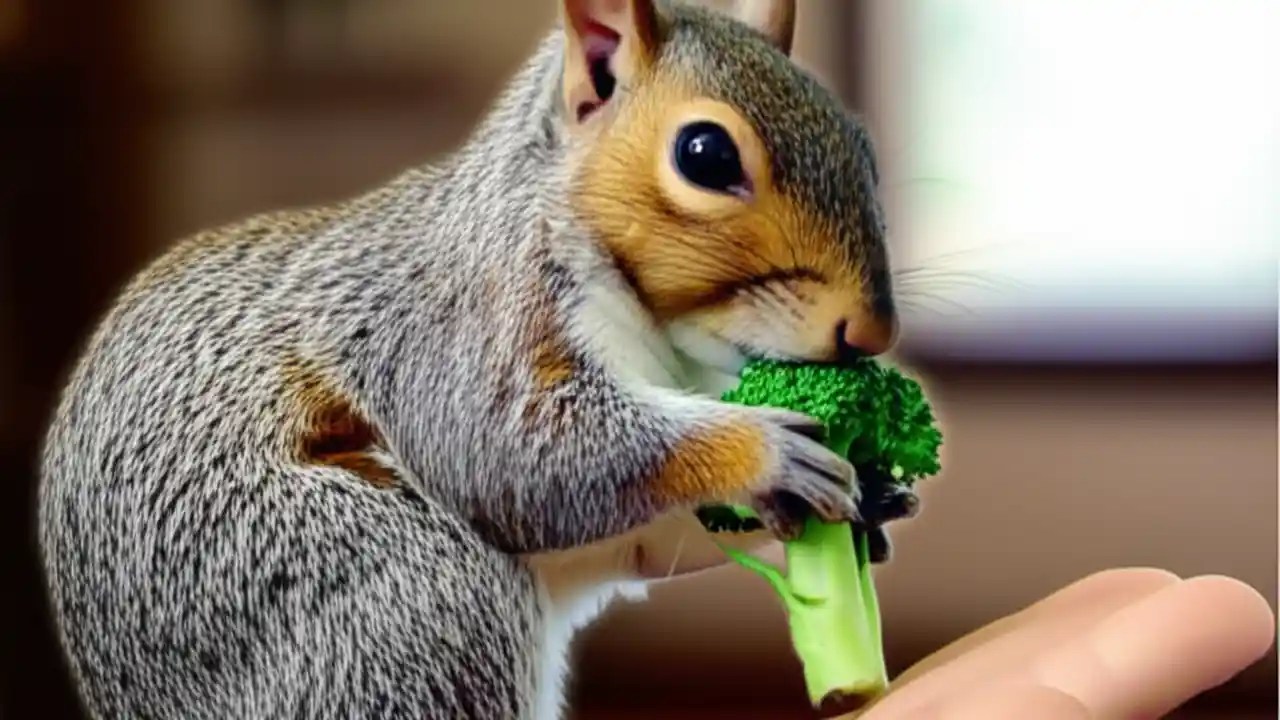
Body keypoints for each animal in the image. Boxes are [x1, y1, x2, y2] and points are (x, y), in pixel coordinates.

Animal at [38, 1, 916, 718]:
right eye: (705, 154)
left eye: (864, 145)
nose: (870, 333)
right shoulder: (462, 324)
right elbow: (511, 451)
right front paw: (765, 453)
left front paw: (868, 493)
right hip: (406, 599)